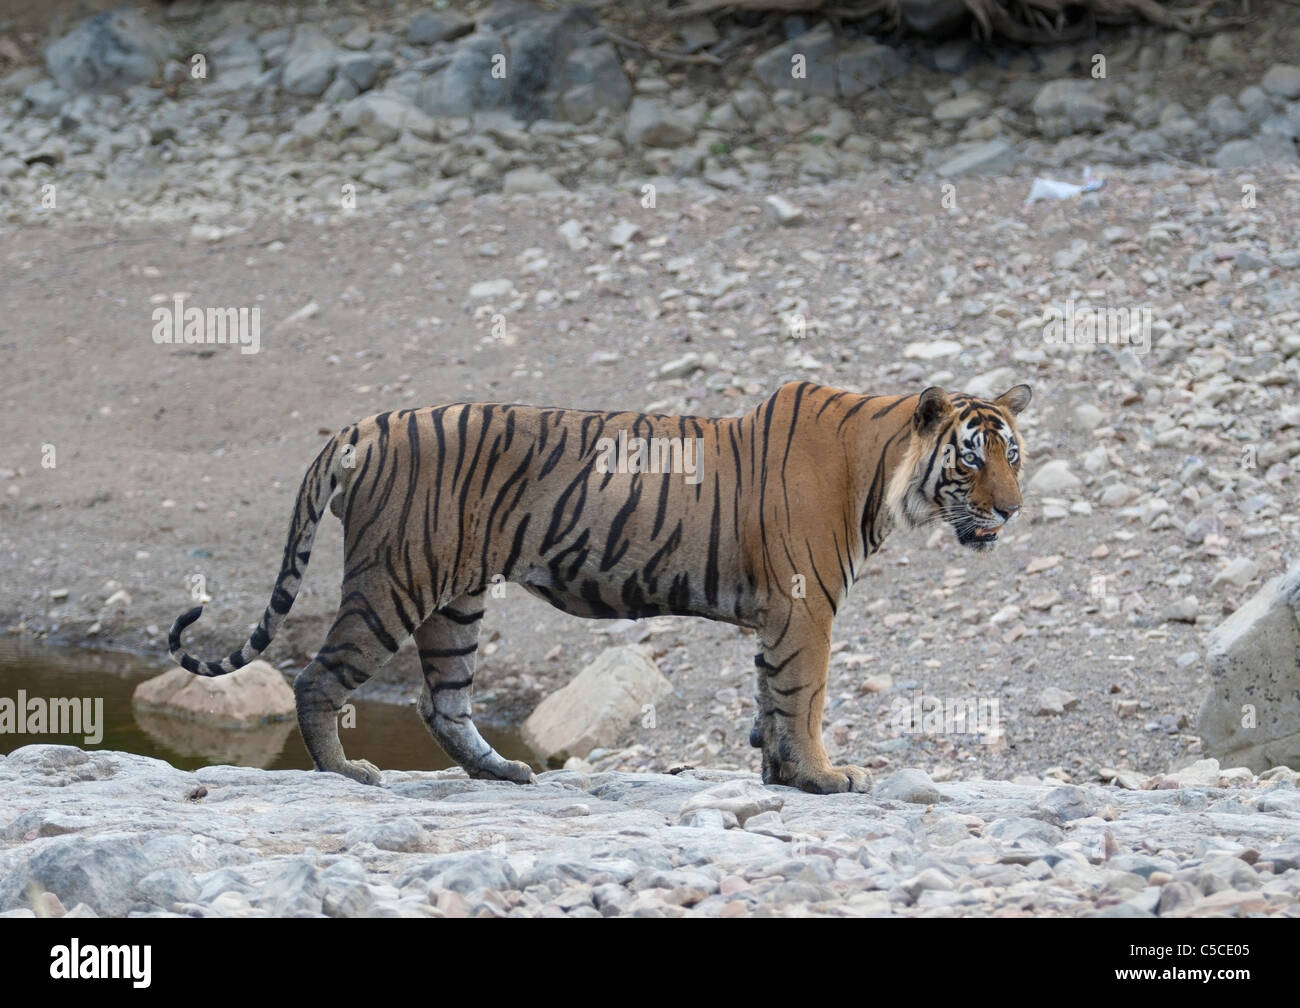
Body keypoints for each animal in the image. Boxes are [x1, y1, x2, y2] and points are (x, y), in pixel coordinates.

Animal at [168, 380, 1031, 795]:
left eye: (1014, 453)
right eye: (973, 459)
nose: (1015, 510)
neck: (883, 474)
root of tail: (364, 424)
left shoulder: (781, 619)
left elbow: (772, 701)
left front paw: (786, 777)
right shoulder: (804, 608)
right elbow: (805, 699)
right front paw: (826, 776)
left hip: (456, 598)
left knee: (443, 702)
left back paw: (503, 772)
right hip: (397, 580)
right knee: (318, 678)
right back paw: (347, 774)